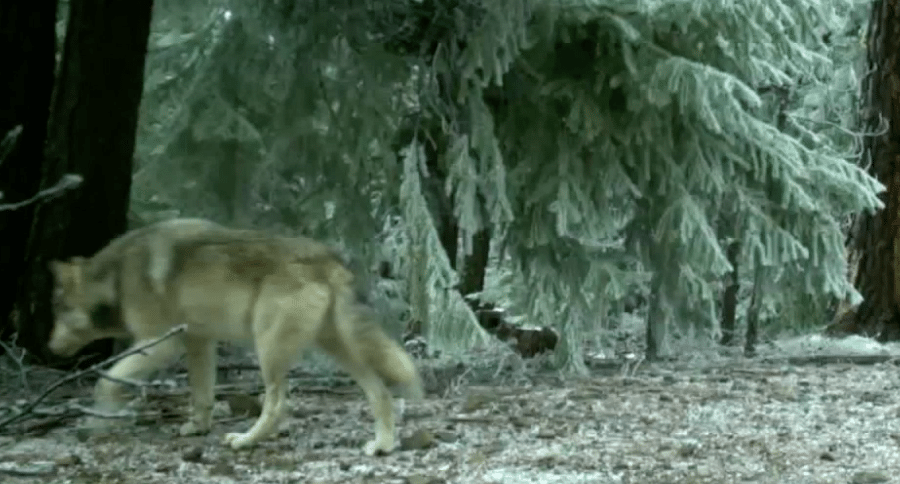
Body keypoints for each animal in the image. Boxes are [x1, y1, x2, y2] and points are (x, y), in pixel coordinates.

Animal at [47, 218, 424, 455]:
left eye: (59, 311)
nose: (49, 347)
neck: (115, 278)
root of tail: (329, 258)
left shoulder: (162, 344)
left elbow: (106, 382)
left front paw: (95, 424)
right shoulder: (199, 342)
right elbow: (202, 394)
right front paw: (198, 428)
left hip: (268, 349)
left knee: (278, 405)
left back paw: (245, 441)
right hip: (337, 350)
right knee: (380, 392)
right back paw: (382, 445)